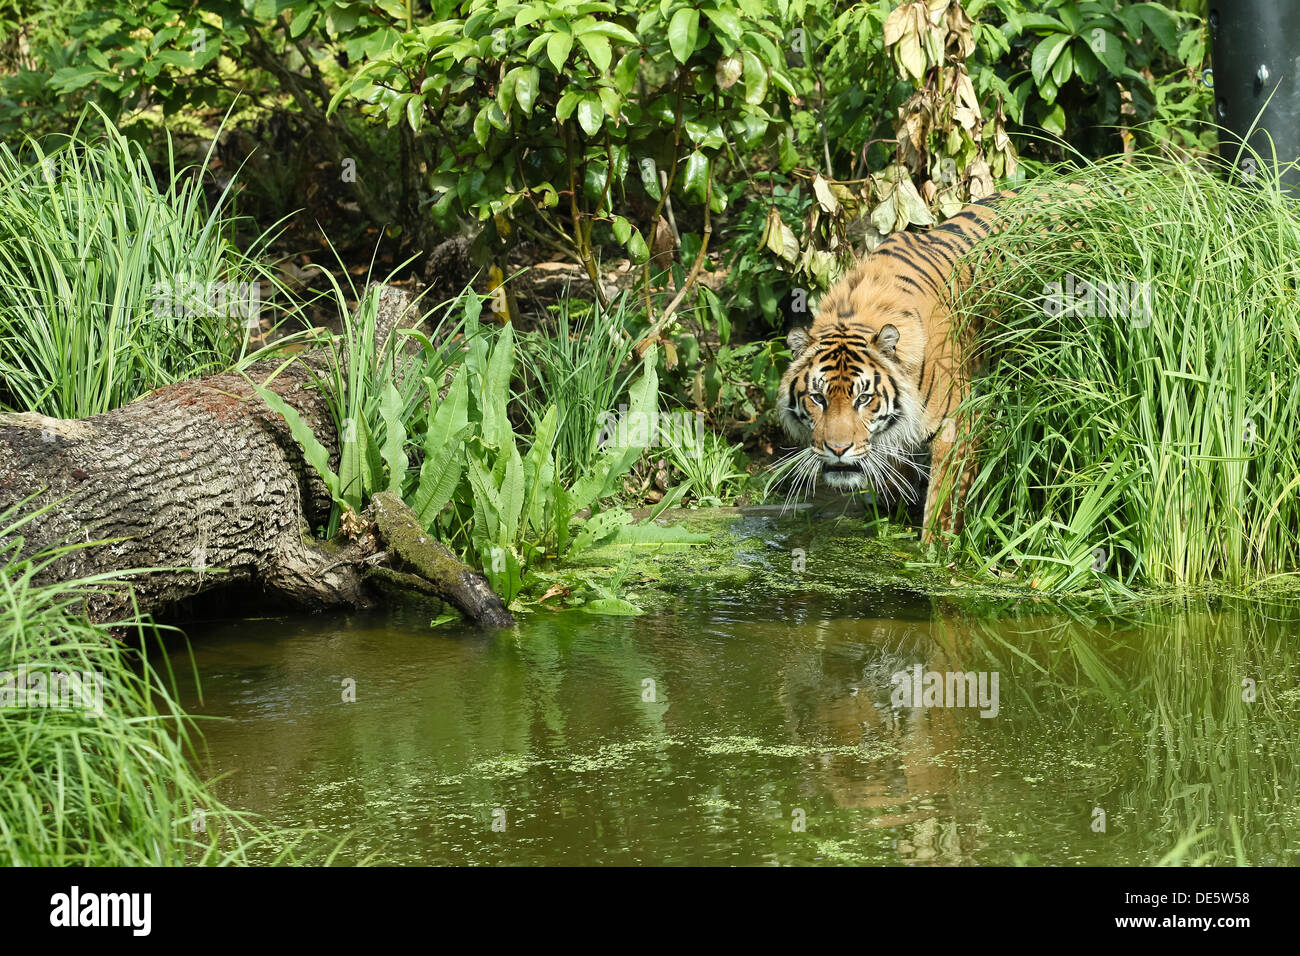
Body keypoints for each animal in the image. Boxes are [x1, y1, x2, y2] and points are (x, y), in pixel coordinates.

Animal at [776, 190, 1019, 539]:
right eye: (818, 398)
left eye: (863, 398)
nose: (838, 449)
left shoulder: (958, 423)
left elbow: (944, 503)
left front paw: (935, 547)